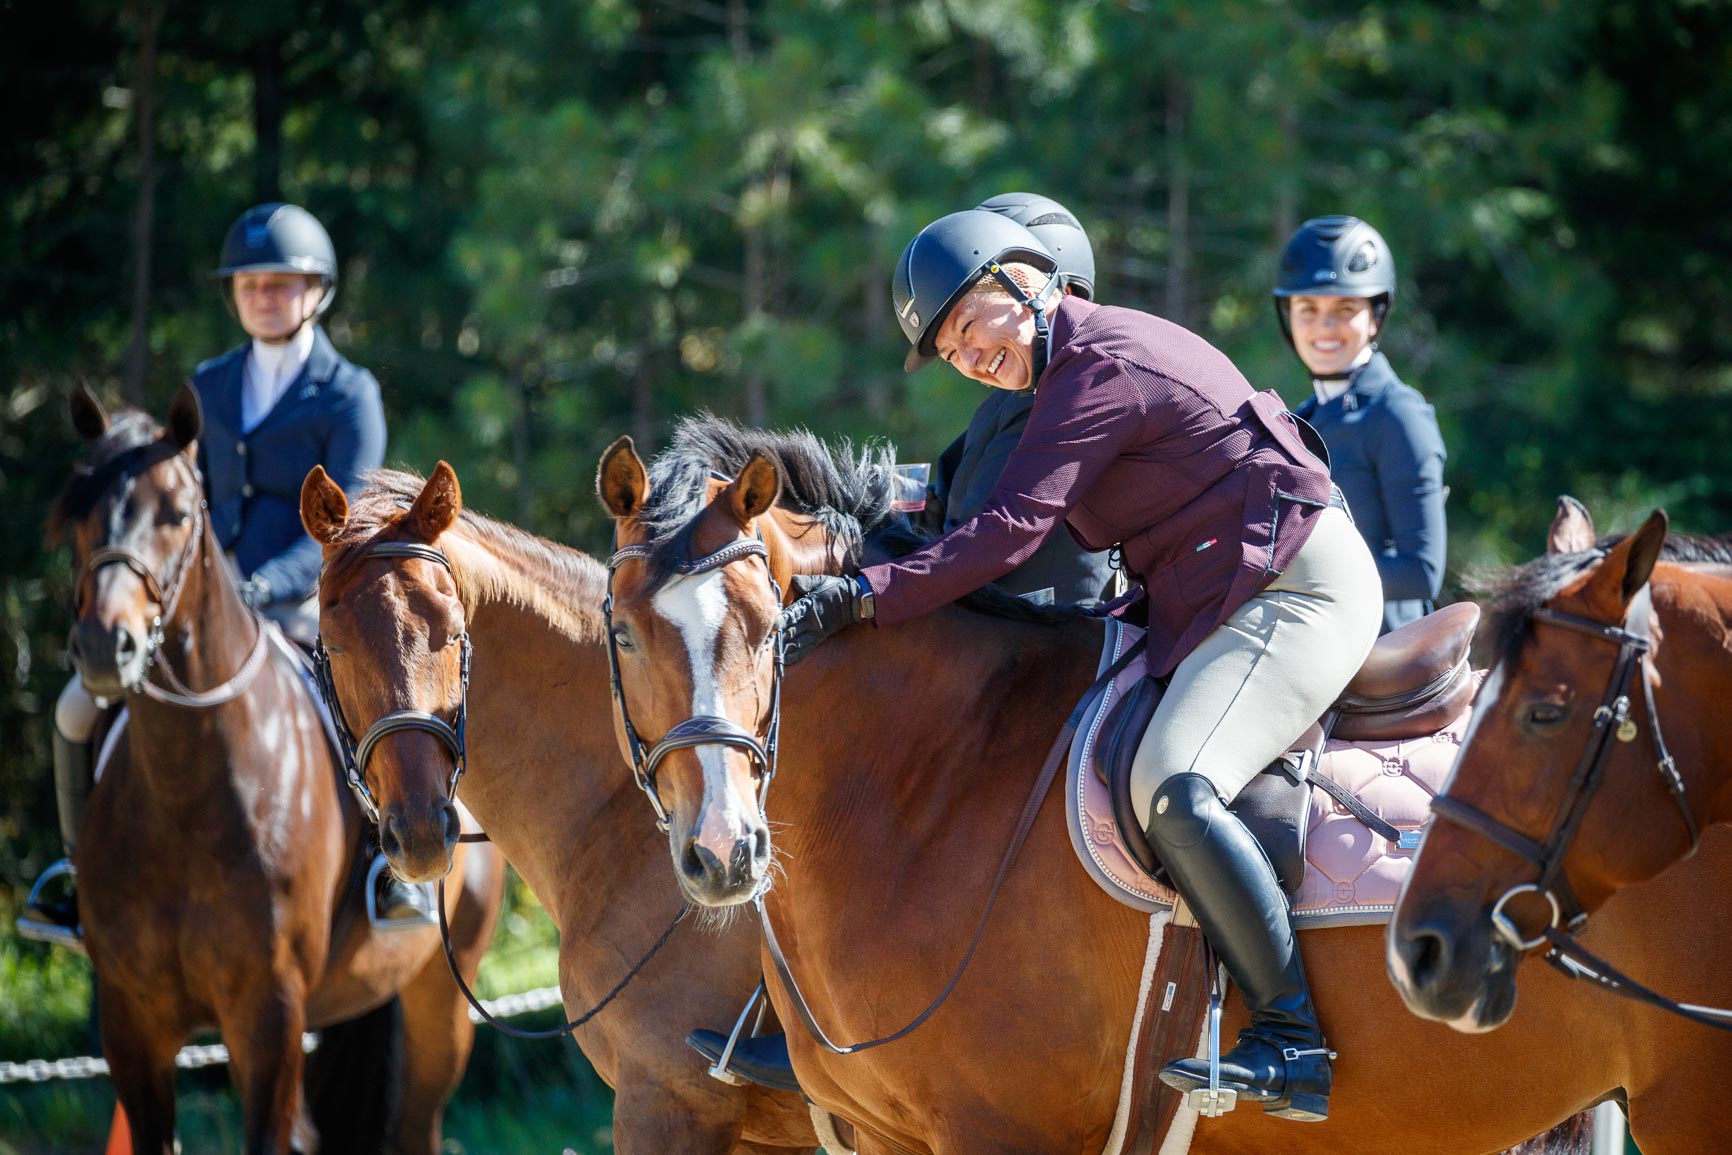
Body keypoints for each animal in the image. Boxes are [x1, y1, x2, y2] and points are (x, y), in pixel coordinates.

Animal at [58, 385, 505, 1155]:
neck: (183, 793)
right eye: (81, 509)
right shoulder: (131, 1025)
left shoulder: (268, 1019)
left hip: (442, 1000)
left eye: (179, 512)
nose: (104, 645)